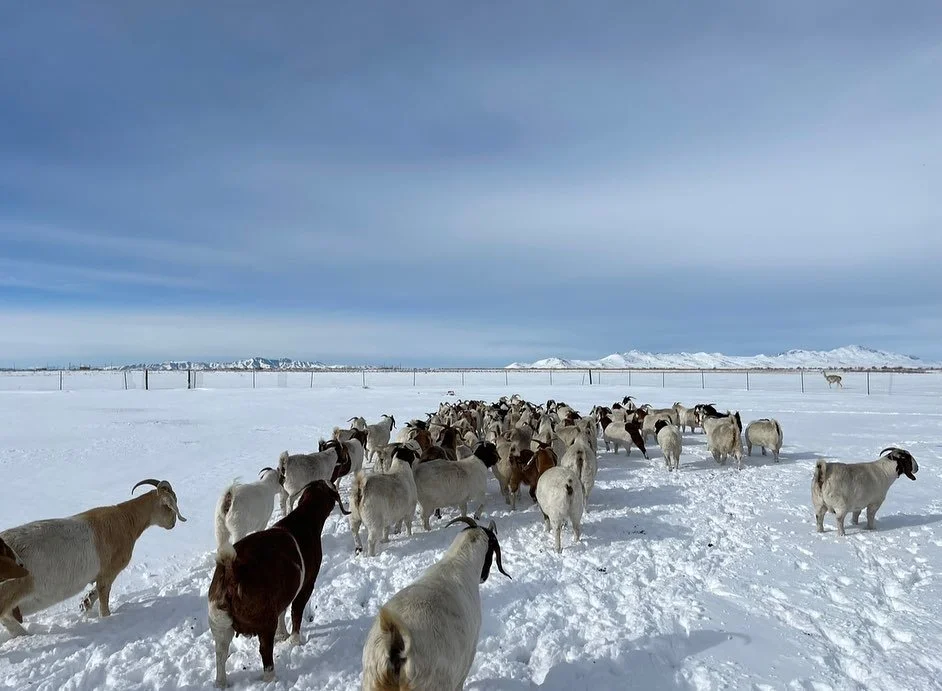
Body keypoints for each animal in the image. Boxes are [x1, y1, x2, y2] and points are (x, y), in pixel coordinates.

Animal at [0, 479, 186, 636]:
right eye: (171, 505)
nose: (173, 523)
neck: (124, 520)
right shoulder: (108, 573)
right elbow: (103, 597)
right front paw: (105, 616)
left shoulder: (100, 576)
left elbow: (95, 590)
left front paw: (86, 602)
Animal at [208, 479, 348, 687]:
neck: (304, 519)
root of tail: (232, 572)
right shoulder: (306, 586)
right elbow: (296, 613)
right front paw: (294, 641)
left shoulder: (283, 591)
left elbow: (283, 611)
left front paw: (283, 635)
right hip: (265, 620)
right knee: (265, 652)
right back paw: (271, 678)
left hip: (219, 623)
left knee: (220, 654)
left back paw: (221, 682)